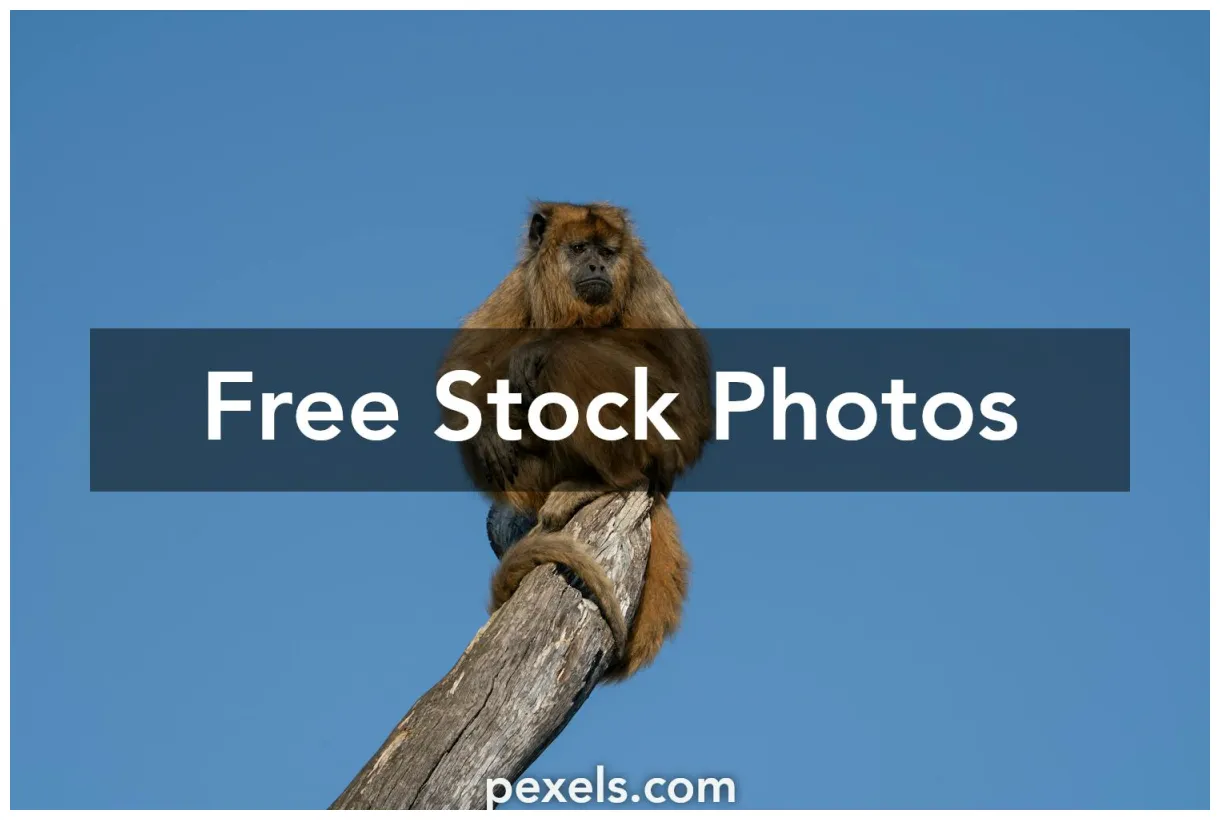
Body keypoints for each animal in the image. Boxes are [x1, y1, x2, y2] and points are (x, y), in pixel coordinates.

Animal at [440, 201, 711, 680]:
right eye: (580, 249)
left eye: (607, 251)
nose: (597, 265)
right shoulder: (520, 281)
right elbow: (462, 364)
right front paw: (489, 425)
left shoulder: (644, 277)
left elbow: (688, 388)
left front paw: (540, 347)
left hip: (657, 448)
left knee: (567, 359)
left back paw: (600, 480)